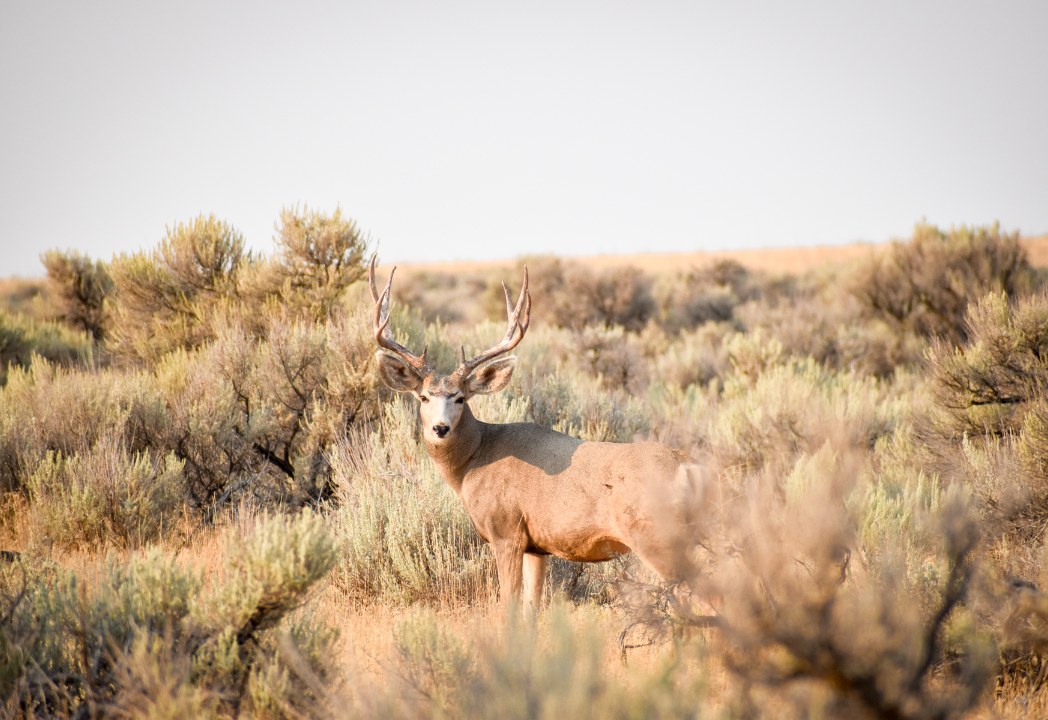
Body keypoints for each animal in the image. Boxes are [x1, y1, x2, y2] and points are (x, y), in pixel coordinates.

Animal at [368, 256, 718, 622]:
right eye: (423, 397)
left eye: (460, 398)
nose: (440, 428)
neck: (475, 460)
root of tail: (689, 466)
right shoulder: (537, 547)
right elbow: (531, 612)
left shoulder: (506, 531)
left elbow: (508, 608)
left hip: (657, 536)